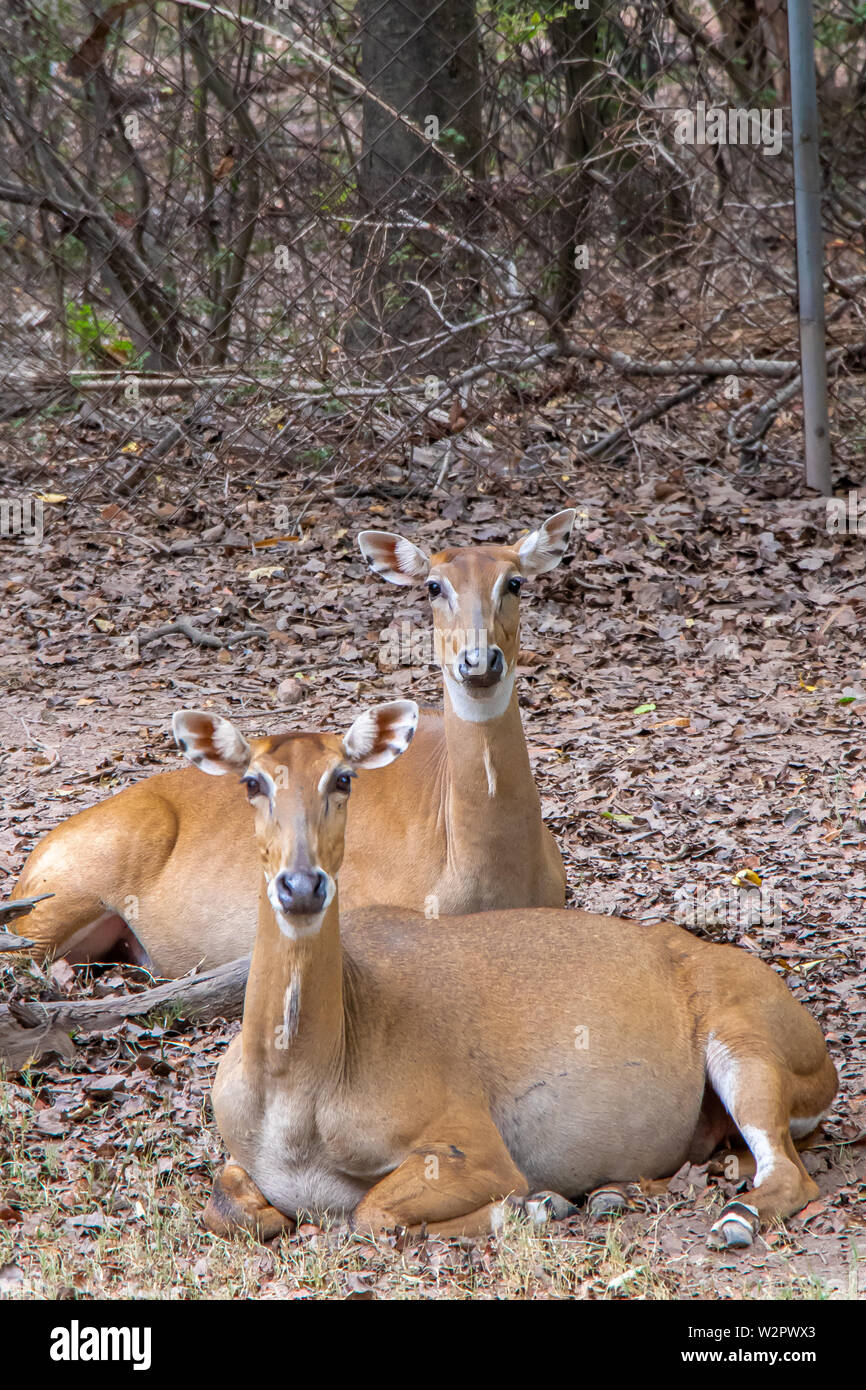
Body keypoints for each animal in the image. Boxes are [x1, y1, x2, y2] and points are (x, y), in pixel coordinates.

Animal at [8, 512, 572, 976]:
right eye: (434, 585)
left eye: (515, 581)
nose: (479, 660)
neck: (476, 869)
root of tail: (31, 863)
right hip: (63, 891)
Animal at [172, 701, 838, 1252]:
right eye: (252, 781)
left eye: (343, 777)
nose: (302, 884)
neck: (296, 1091)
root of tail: (824, 1061)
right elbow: (224, 1206)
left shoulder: (470, 1138)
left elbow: (373, 1212)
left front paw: (538, 1204)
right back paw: (616, 1192)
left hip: (749, 1039)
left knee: (792, 1174)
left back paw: (732, 1218)